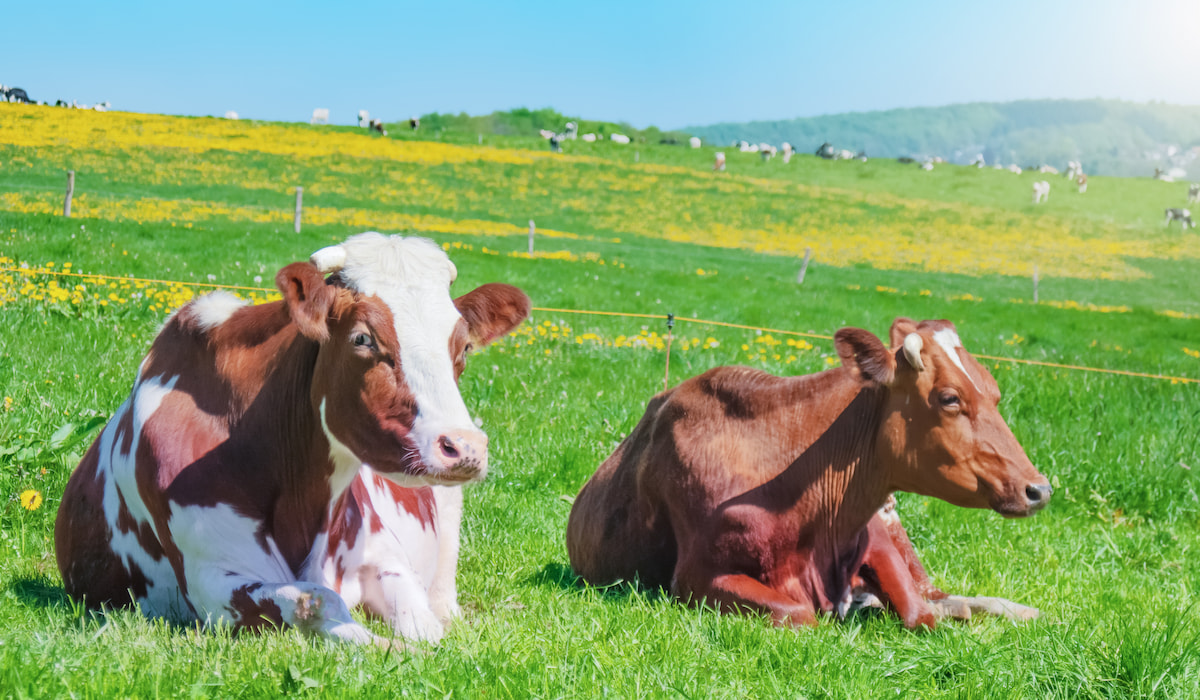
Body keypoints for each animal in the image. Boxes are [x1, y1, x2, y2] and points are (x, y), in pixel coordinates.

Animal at [55, 233, 531, 645]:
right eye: (362, 337)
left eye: (463, 347)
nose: (464, 447)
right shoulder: (213, 582)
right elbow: (319, 601)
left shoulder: (386, 559)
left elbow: (424, 626)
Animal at [567, 318, 1051, 630]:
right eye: (949, 398)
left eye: (995, 392)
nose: (1039, 489)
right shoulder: (694, 576)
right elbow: (800, 613)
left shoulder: (872, 534)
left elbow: (920, 613)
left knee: (936, 595)